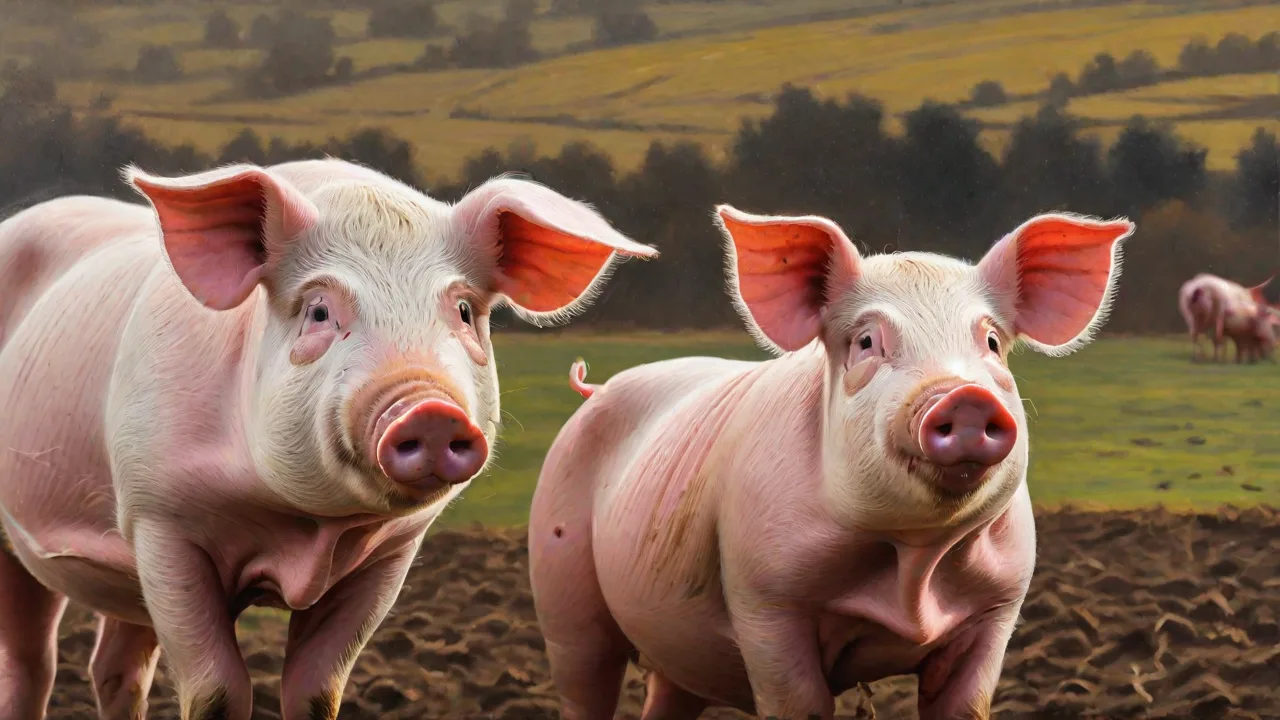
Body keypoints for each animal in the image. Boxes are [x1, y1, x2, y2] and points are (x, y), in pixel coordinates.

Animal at [0, 159, 655, 720]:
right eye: (318, 310)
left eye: (465, 311)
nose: (430, 409)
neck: (303, 528)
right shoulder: (159, 520)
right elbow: (215, 691)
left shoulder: (392, 552)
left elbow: (318, 690)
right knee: (33, 664)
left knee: (116, 669)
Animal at [530, 207, 1134, 720]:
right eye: (866, 341)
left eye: (990, 342)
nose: (964, 397)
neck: (911, 571)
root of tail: (598, 390)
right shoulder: (766, 600)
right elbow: (800, 703)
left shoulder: (999, 608)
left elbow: (966, 704)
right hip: (562, 591)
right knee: (584, 680)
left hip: (676, 646)